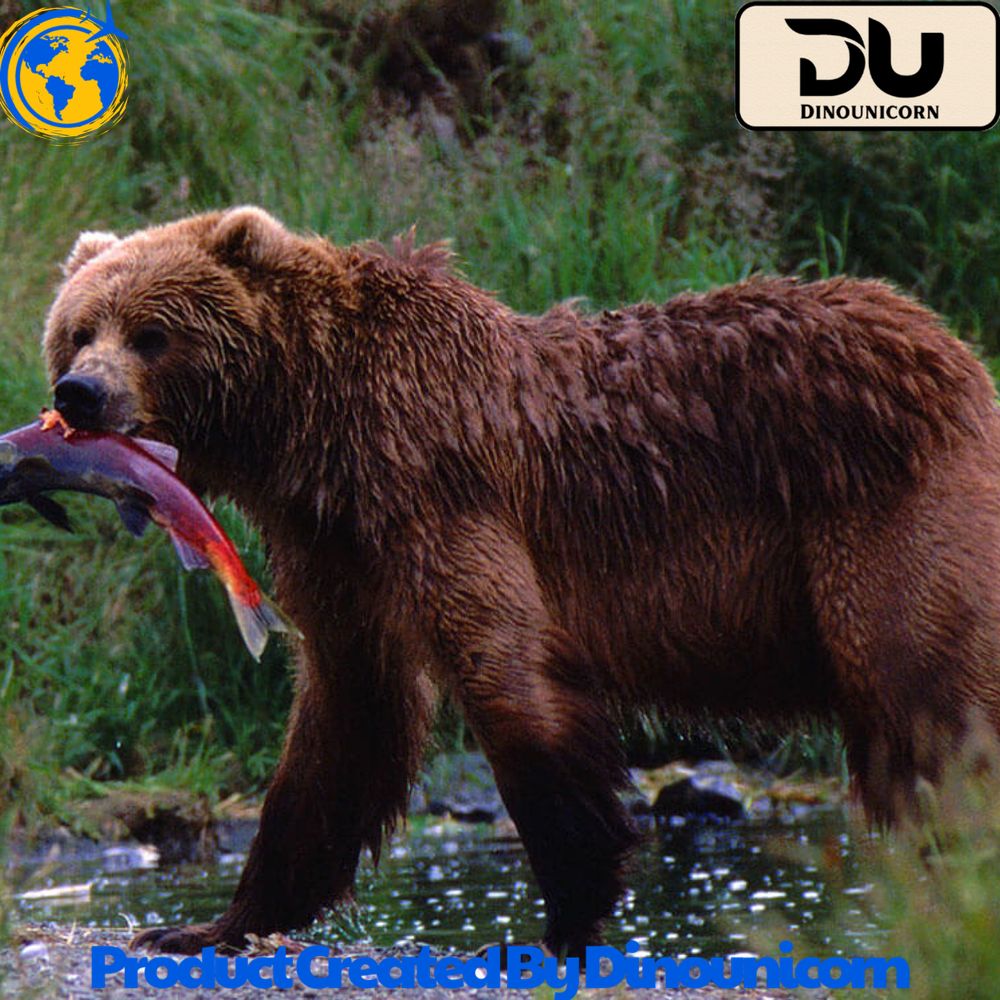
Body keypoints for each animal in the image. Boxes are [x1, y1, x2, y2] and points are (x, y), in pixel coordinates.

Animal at [41, 206, 1000, 956]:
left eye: (152, 333)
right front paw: (201, 923)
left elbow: (507, 674)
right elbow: (344, 720)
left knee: (925, 705)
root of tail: (957, 352)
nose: (79, 392)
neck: (311, 428)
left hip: (884, 520)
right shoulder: (334, 548)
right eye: (80, 328)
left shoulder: (436, 492)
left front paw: (566, 916)